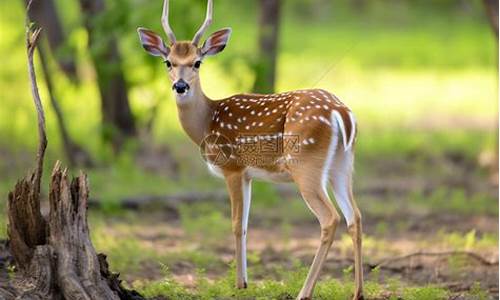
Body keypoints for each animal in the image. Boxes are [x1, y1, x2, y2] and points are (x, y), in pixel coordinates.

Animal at [137, 1, 364, 298]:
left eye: (197, 62)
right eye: (168, 62)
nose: (180, 86)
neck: (207, 121)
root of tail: (342, 114)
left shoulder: (232, 166)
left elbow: (235, 224)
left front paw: (238, 284)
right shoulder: (248, 175)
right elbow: (245, 225)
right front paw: (244, 282)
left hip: (306, 163)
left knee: (330, 218)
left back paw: (304, 291)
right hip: (343, 163)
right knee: (355, 217)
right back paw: (358, 291)